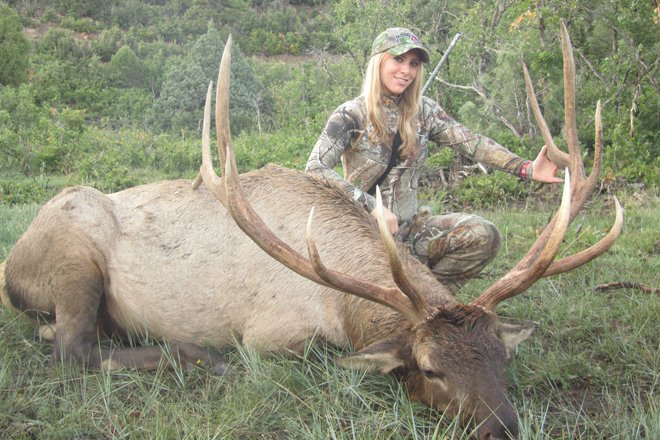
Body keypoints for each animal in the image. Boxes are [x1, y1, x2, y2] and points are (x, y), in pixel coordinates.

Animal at [2, 22, 622, 439]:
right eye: (431, 369)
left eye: (501, 359)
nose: (503, 428)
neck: (339, 303)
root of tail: (11, 266)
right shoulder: (269, 335)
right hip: (74, 247)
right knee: (71, 348)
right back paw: (195, 356)